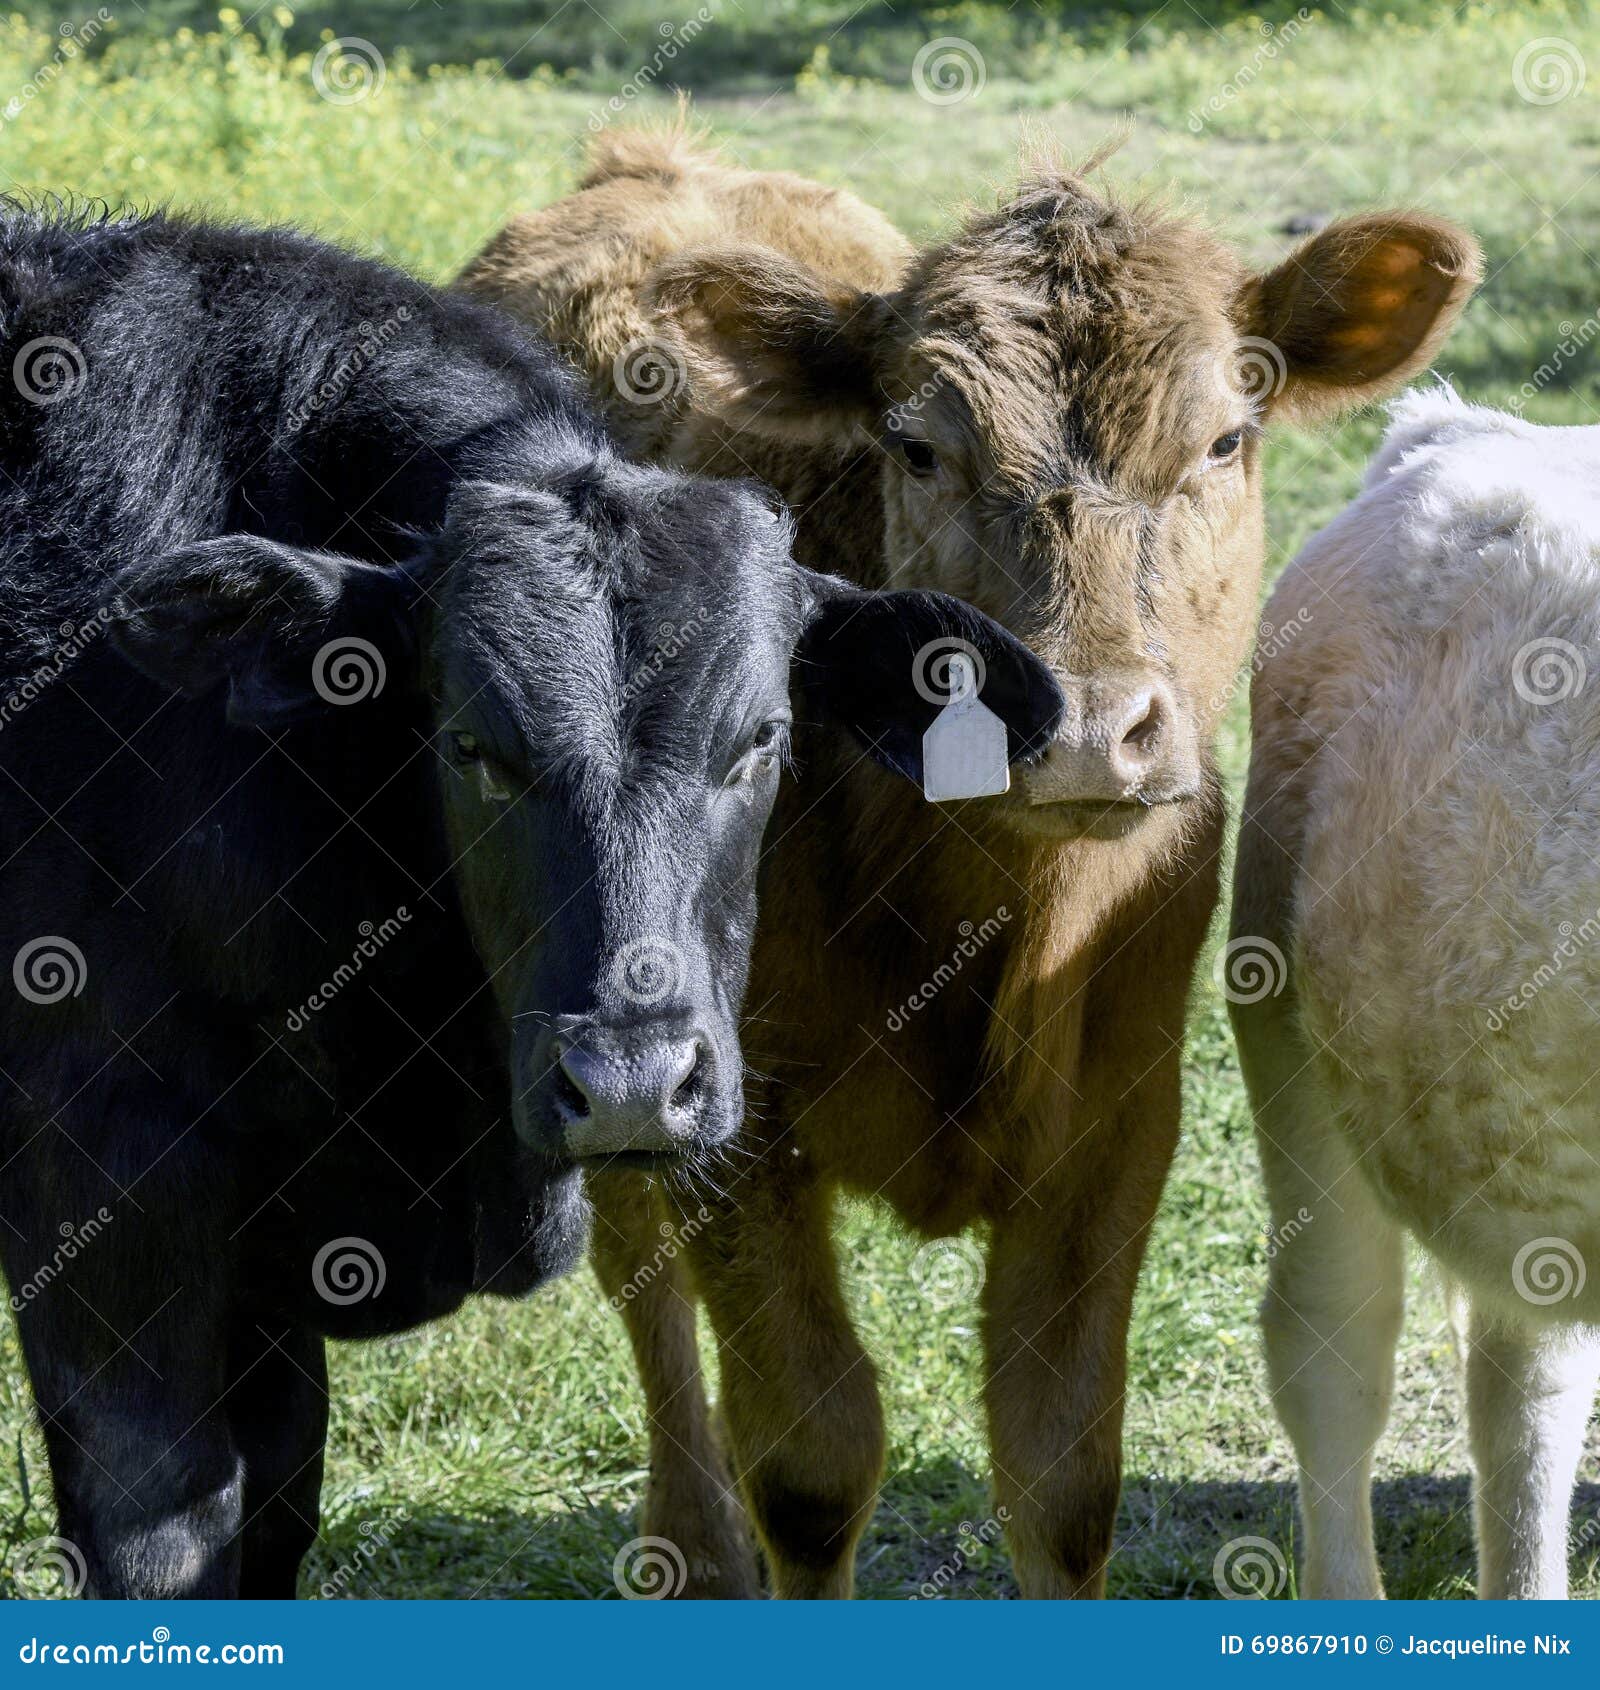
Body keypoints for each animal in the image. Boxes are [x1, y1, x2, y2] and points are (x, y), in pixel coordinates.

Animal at [459, 126, 1481, 1598]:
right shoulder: (733, 1119)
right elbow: (812, 1457)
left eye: (1225, 437)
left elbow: (1060, 1471)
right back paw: (691, 1539)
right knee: (634, 1264)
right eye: (917, 446)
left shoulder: (1120, 1118)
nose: (1087, 725)